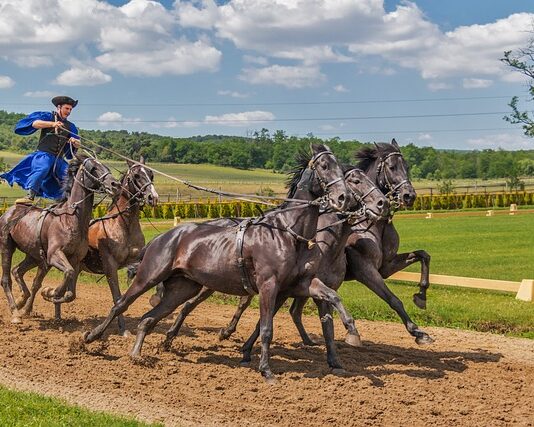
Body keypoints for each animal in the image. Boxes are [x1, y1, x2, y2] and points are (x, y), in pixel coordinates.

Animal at [0, 155, 120, 324]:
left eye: (106, 166)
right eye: (93, 168)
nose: (115, 184)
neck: (70, 219)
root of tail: (10, 212)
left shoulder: (75, 259)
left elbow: (70, 293)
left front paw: (51, 295)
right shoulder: (54, 255)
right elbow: (68, 273)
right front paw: (50, 292)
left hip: (34, 256)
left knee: (17, 270)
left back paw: (22, 300)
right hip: (7, 246)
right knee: (6, 280)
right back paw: (16, 312)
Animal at [84, 144, 356, 382]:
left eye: (341, 168)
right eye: (324, 166)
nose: (342, 197)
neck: (288, 232)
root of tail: (161, 238)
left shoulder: (300, 283)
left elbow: (332, 295)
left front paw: (351, 332)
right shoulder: (269, 285)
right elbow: (266, 329)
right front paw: (266, 370)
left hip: (182, 288)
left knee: (148, 319)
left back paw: (136, 354)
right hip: (148, 276)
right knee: (120, 305)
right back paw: (91, 337)